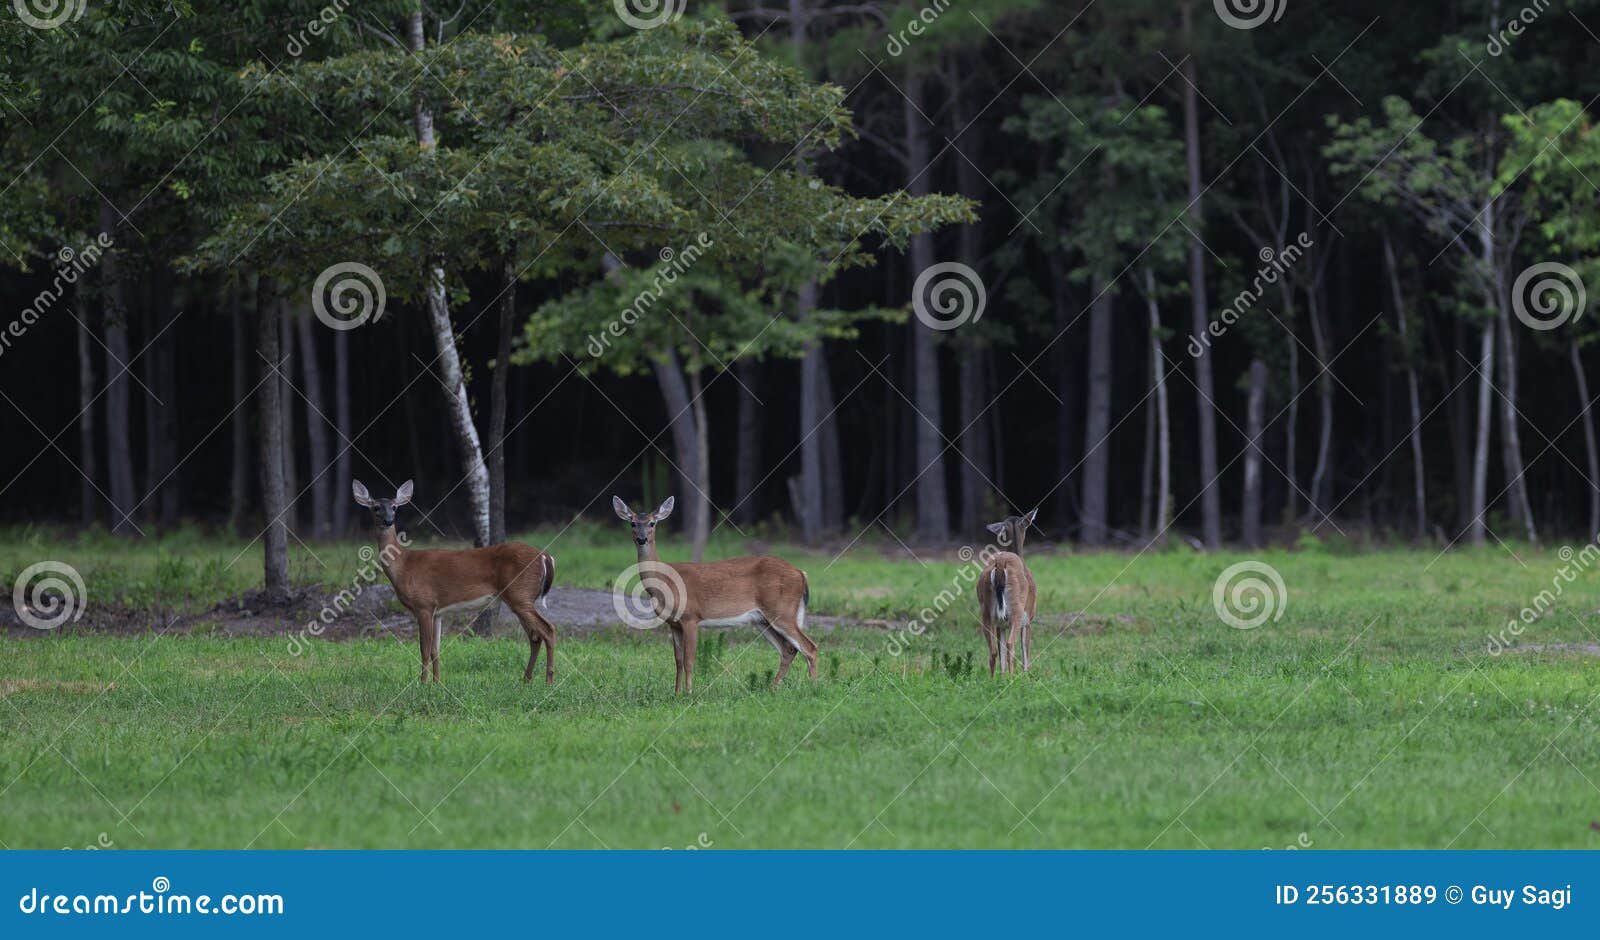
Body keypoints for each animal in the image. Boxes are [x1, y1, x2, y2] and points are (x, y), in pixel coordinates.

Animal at [352, 480, 558, 684]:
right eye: (376, 507)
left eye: (394, 507)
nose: (388, 520)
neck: (404, 565)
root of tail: (545, 556)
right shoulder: (437, 612)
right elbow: (435, 650)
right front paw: (437, 683)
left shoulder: (424, 605)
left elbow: (424, 649)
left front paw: (422, 683)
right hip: (518, 598)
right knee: (535, 636)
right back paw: (526, 679)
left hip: (520, 594)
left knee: (547, 629)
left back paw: (548, 680)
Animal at [612, 495, 817, 693]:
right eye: (632, 523)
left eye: (652, 523)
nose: (642, 539)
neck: (665, 581)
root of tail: (801, 573)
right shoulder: (673, 624)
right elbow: (677, 661)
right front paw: (676, 693)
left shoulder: (690, 617)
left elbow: (689, 659)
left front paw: (689, 692)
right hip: (762, 620)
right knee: (789, 650)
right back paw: (772, 689)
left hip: (782, 611)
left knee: (810, 647)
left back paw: (814, 687)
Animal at [975, 508, 1038, 675]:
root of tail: (1000, 562)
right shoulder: (1028, 619)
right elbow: (1025, 652)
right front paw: (1026, 675)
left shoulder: (1000, 625)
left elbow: (1000, 652)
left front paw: (1002, 676)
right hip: (1016, 610)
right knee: (1011, 645)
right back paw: (1012, 677)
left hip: (986, 612)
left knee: (993, 651)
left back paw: (993, 679)